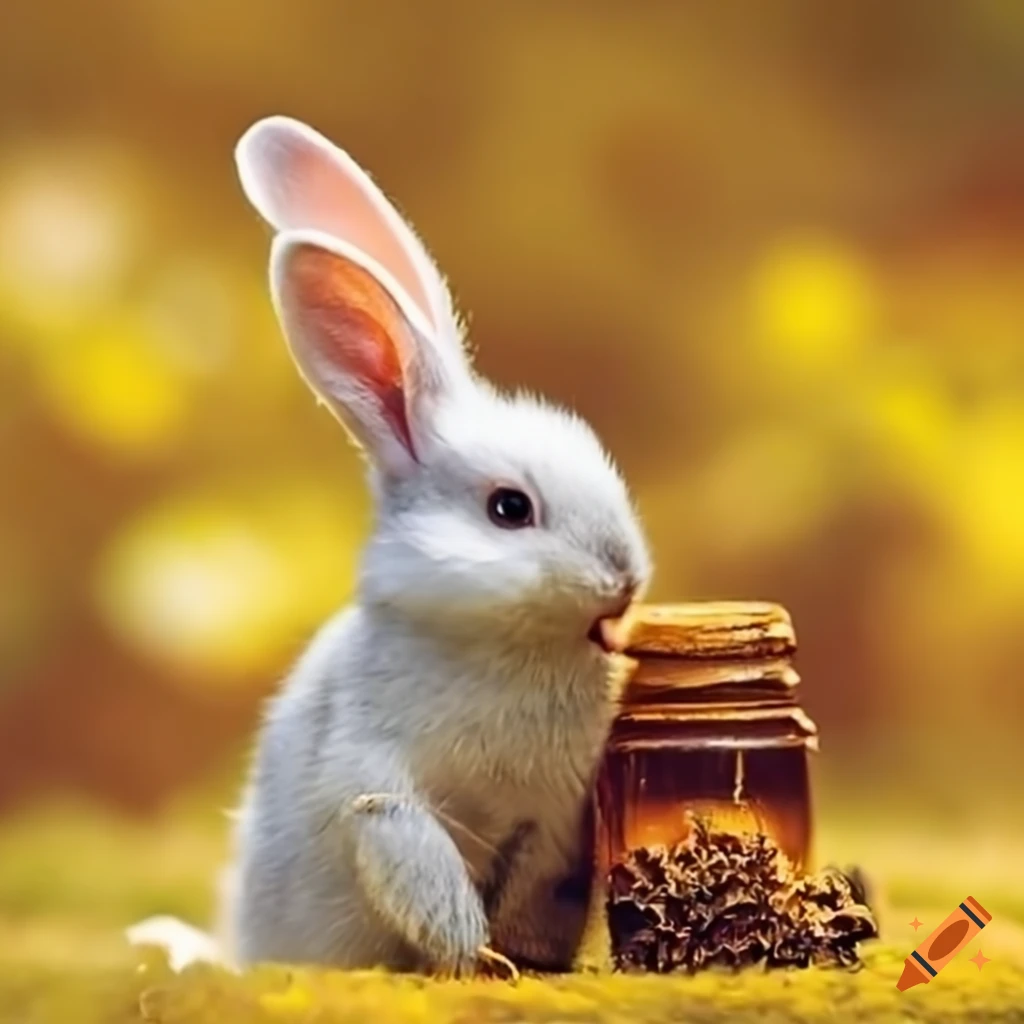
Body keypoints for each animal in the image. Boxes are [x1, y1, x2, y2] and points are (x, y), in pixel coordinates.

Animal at [222, 116, 652, 977]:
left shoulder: (554, 818)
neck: (507, 652)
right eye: (509, 508)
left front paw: (518, 959)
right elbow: (425, 872)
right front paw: (473, 958)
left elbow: (529, 888)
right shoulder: (379, 788)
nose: (627, 578)